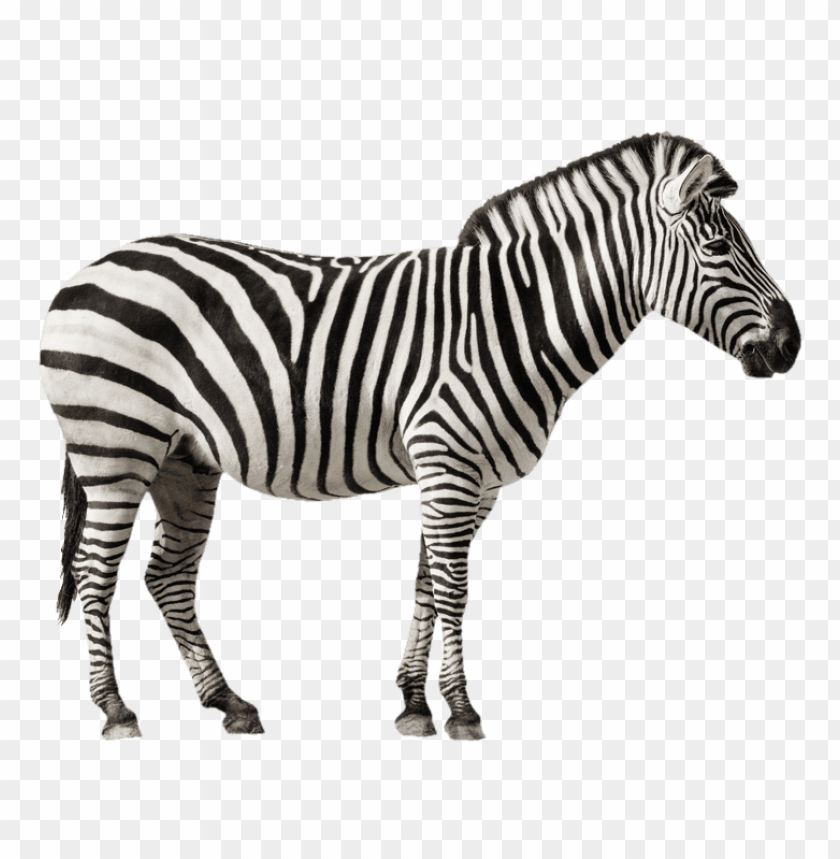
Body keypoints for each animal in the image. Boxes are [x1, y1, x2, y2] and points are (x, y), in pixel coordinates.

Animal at [40, 132, 800, 740]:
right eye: (718, 246)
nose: (792, 346)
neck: (513, 320)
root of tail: (85, 272)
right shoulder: (448, 458)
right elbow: (454, 587)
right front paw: (461, 709)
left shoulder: (475, 478)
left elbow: (428, 583)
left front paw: (413, 703)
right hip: (115, 446)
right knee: (96, 572)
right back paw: (116, 709)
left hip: (184, 459)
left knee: (167, 575)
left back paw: (228, 701)